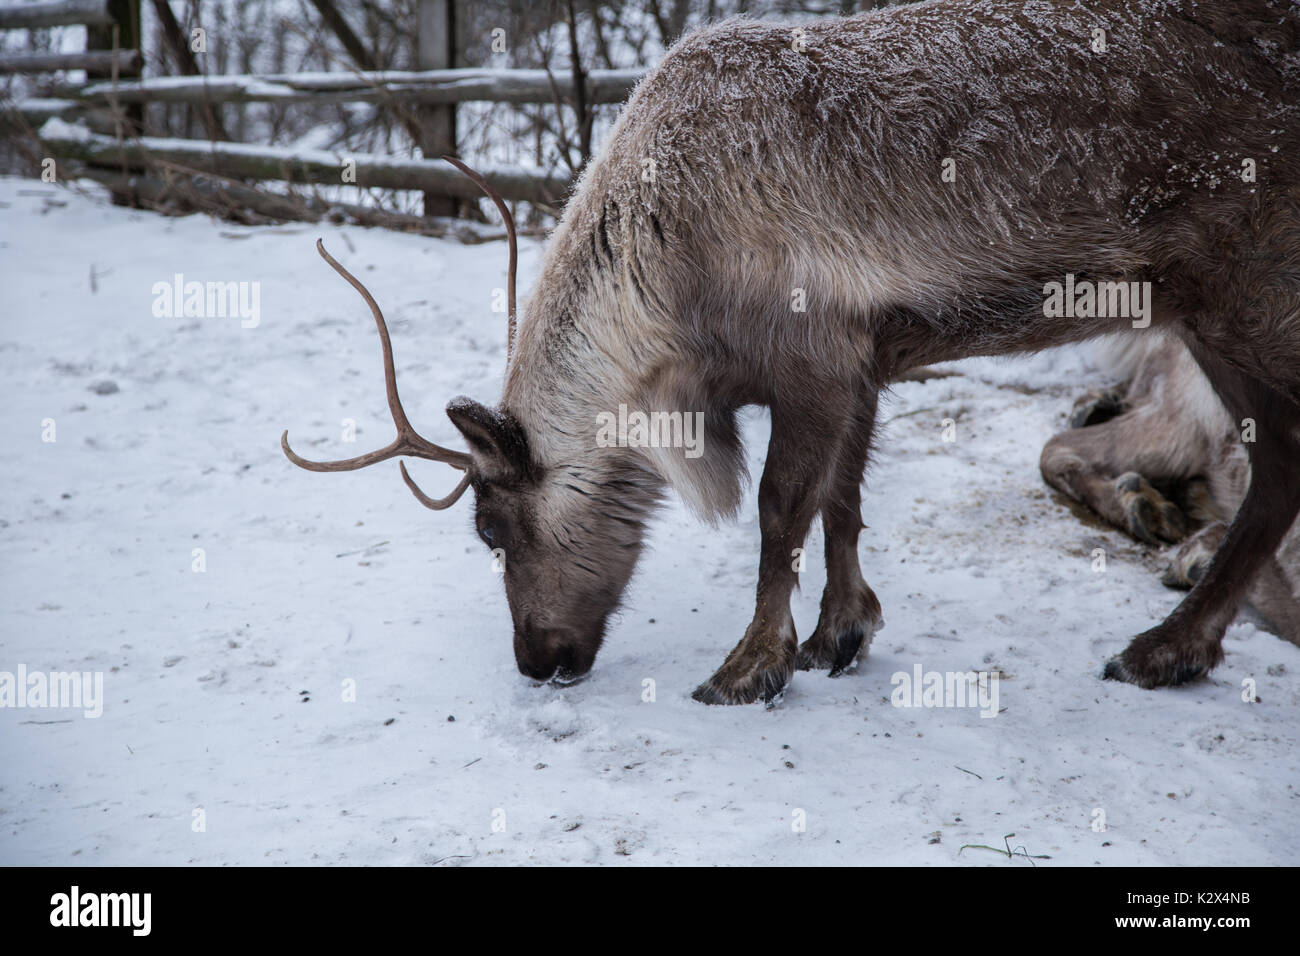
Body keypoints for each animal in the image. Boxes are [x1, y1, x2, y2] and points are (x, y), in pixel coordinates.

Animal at [283, 0, 1300, 704]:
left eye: (491, 530)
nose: (536, 663)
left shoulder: (810, 361)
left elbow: (780, 514)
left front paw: (750, 666)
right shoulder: (863, 358)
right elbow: (842, 503)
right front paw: (839, 634)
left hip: (1242, 300)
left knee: (1278, 464)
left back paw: (1165, 647)